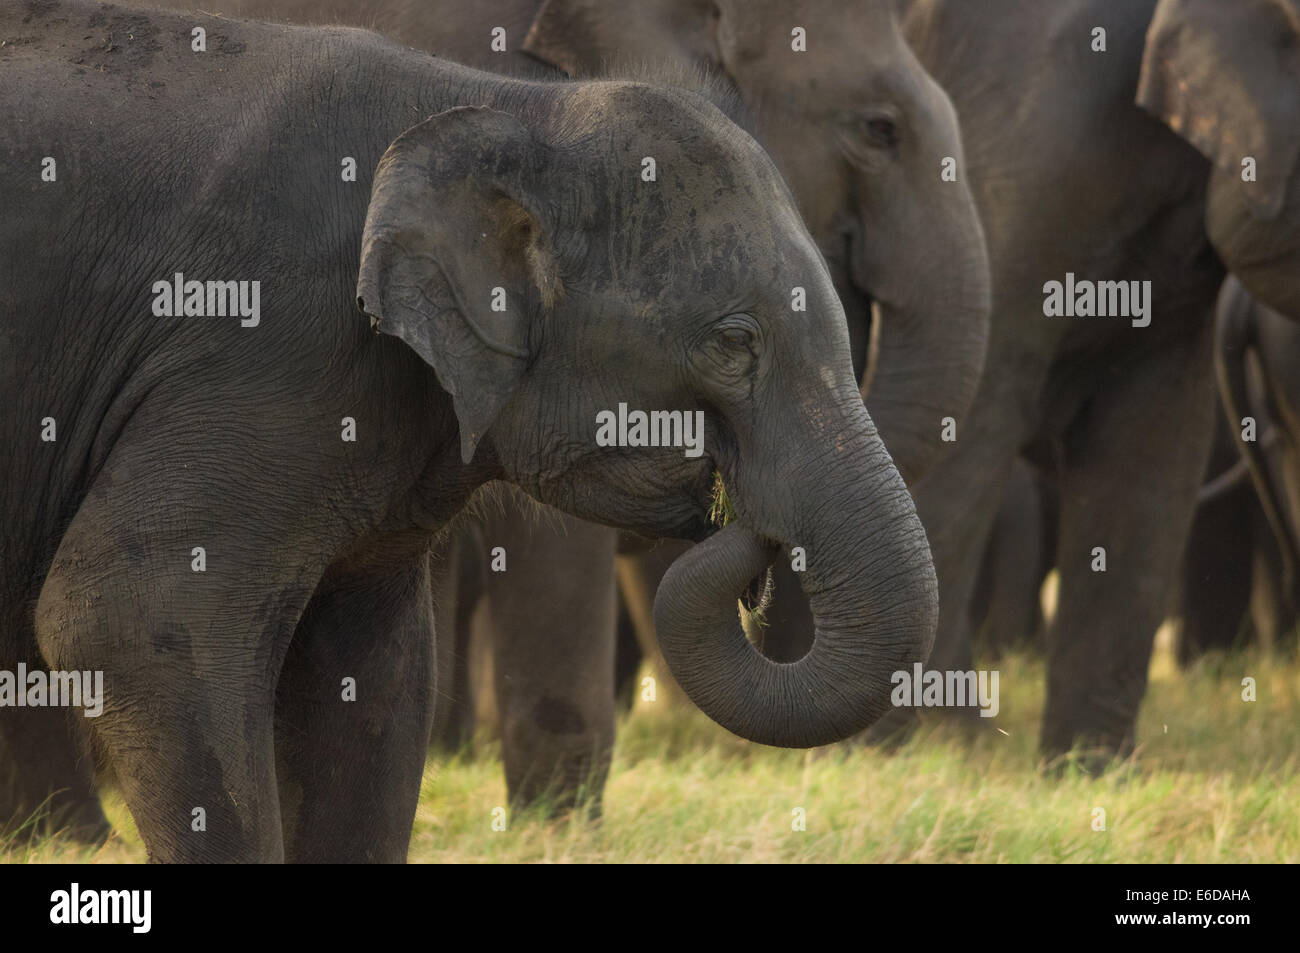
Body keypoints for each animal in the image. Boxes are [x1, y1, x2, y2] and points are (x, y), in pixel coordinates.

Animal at [2, 0, 941, 861]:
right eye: (733, 340)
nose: (744, 526)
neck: (505, 107)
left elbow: (377, 672)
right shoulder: (263, 341)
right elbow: (129, 611)